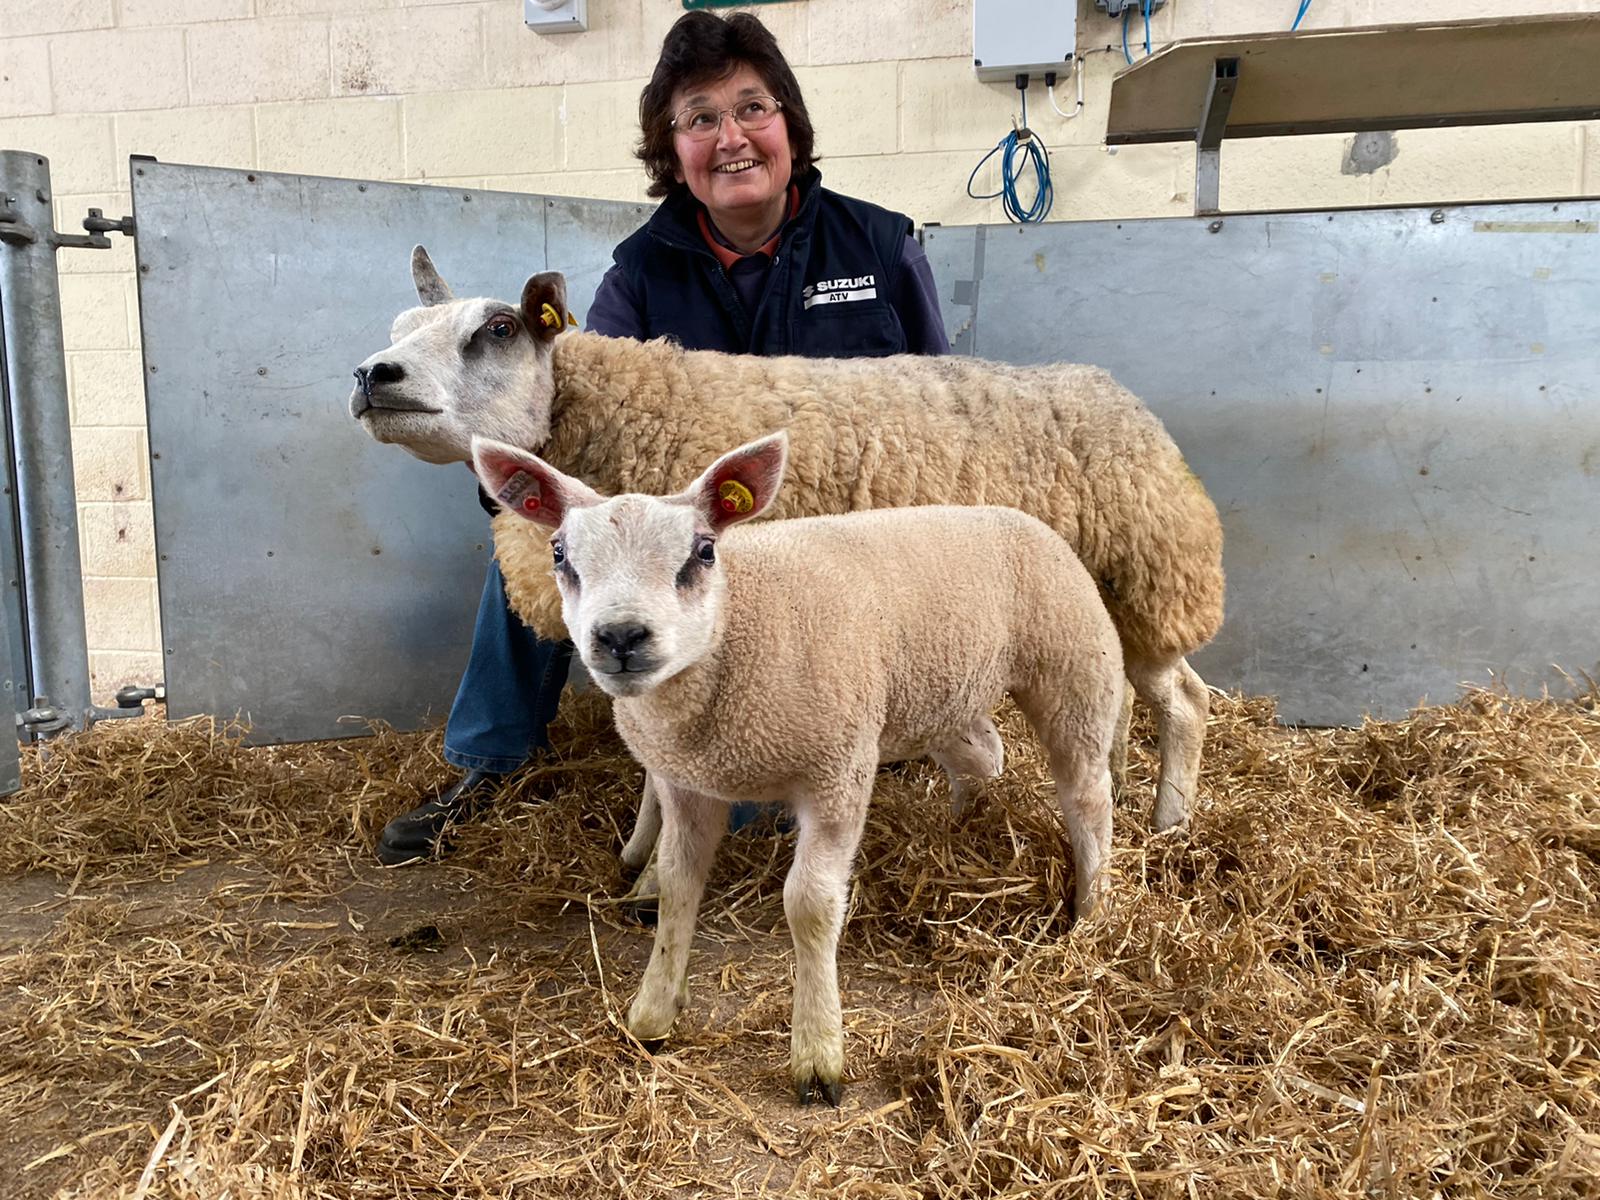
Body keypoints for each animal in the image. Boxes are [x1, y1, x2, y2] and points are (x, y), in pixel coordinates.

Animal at [469, 430, 1127, 1105]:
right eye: (559, 553)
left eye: (704, 551)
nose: (621, 636)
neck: (737, 628)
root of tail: (1020, 515)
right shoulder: (688, 784)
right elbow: (678, 886)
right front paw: (652, 1015)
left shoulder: (835, 773)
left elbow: (809, 905)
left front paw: (817, 1055)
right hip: (940, 694)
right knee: (984, 756)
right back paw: (959, 826)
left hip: (1072, 668)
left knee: (1087, 796)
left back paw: (1092, 912)